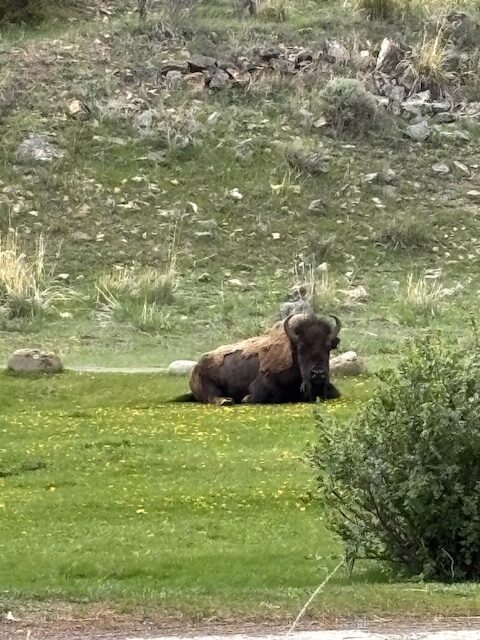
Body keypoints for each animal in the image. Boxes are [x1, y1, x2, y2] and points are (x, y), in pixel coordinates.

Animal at [179, 313, 341, 405]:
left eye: (328, 347)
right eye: (300, 348)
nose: (318, 373)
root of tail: (196, 367)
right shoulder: (260, 386)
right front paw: (245, 399)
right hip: (208, 386)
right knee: (211, 396)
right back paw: (226, 401)